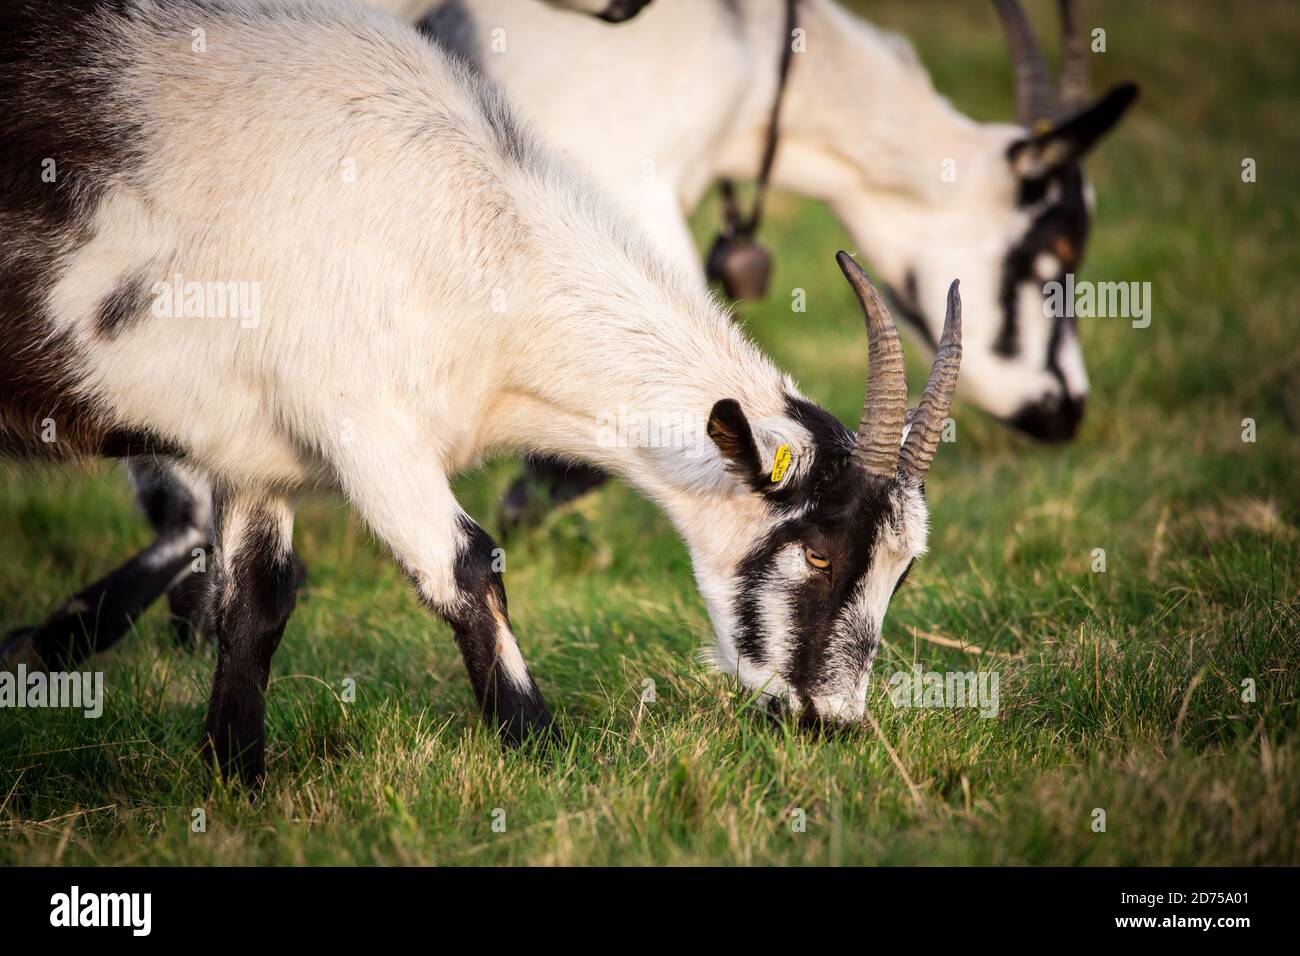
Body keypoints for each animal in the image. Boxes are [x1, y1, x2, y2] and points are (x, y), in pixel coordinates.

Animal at [0, 0, 961, 786]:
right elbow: (469, 568)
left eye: (904, 571)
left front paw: (234, 780)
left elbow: (260, 602)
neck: (482, 247)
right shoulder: (365, 425)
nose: (830, 721)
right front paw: (546, 756)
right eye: (820, 553)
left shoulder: (256, 450)